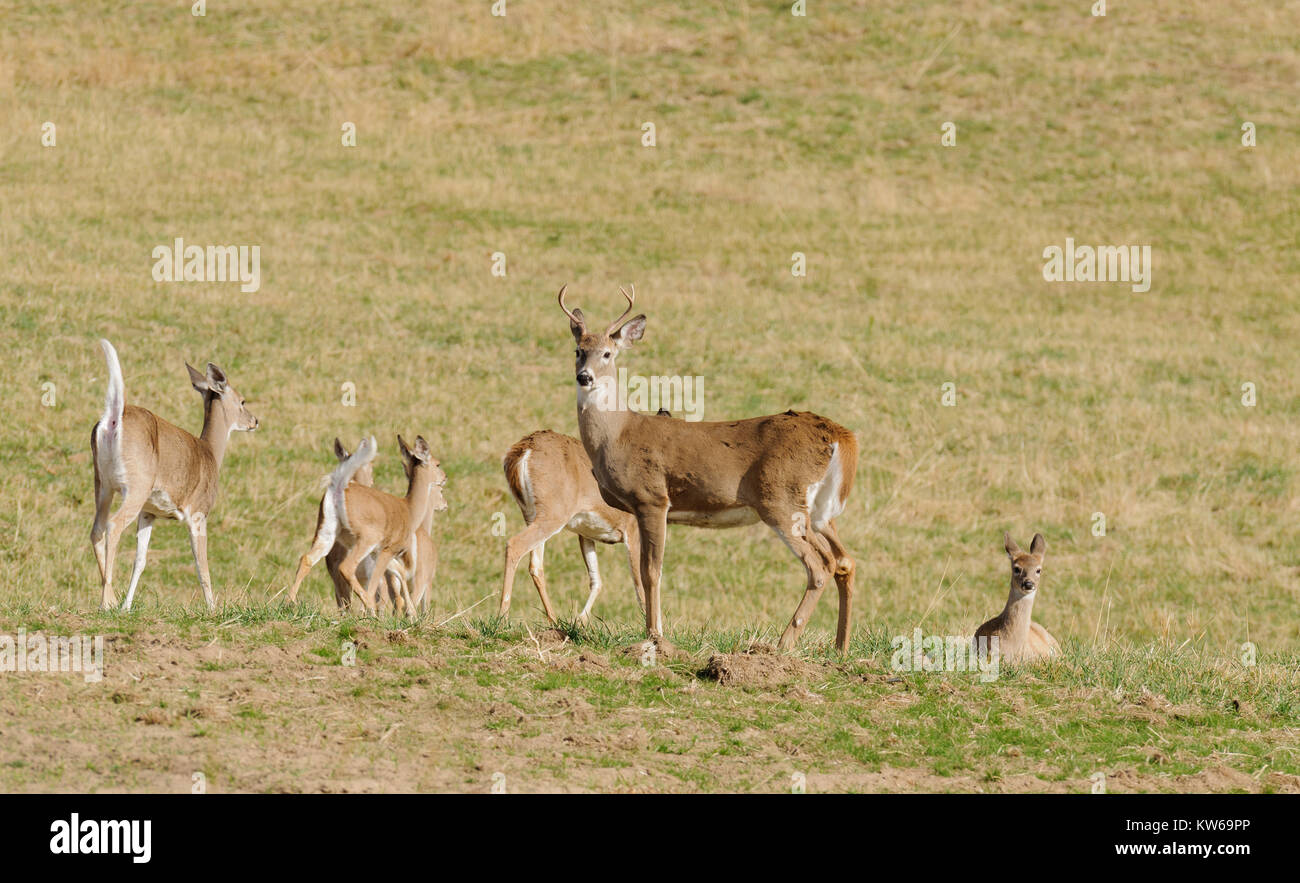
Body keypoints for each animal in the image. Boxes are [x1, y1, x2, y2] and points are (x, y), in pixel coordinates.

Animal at [90, 339, 259, 611]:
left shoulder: (149, 512)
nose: (255, 421)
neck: (210, 453)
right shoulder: (199, 511)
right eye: (242, 401)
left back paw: (112, 599)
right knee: (113, 525)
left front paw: (127, 606)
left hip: (102, 482)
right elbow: (202, 565)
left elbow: (140, 561)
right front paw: (213, 610)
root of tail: (114, 418)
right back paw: (105, 602)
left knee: (96, 529)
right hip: (136, 485)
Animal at [287, 435, 445, 615]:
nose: (444, 478)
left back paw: (289, 602)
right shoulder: (387, 549)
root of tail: (340, 486)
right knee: (348, 568)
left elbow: (399, 572)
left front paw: (410, 613)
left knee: (307, 559)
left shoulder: (379, 552)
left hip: (327, 531)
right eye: (437, 464)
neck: (409, 509)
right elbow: (381, 582)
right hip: (367, 538)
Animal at [500, 429, 649, 627]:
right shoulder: (632, 530)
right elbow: (641, 585)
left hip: (532, 513)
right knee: (515, 544)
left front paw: (579, 621)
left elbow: (596, 580)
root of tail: (524, 450)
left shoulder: (585, 533)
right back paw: (502, 619)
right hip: (554, 511)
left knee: (535, 565)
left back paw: (554, 621)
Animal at [557, 284, 859, 654]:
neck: (618, 434)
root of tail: (839, 435)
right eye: (578, 350)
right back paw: (840, 646)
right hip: (818, 510)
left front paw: (655, 636)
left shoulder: (652, 498)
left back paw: (782, 644)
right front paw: (656, 633)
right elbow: (645, 571)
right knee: (844, 560)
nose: (584, 377)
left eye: (607, 354)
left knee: (820, 565)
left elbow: (650, 571)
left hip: (780, 498)